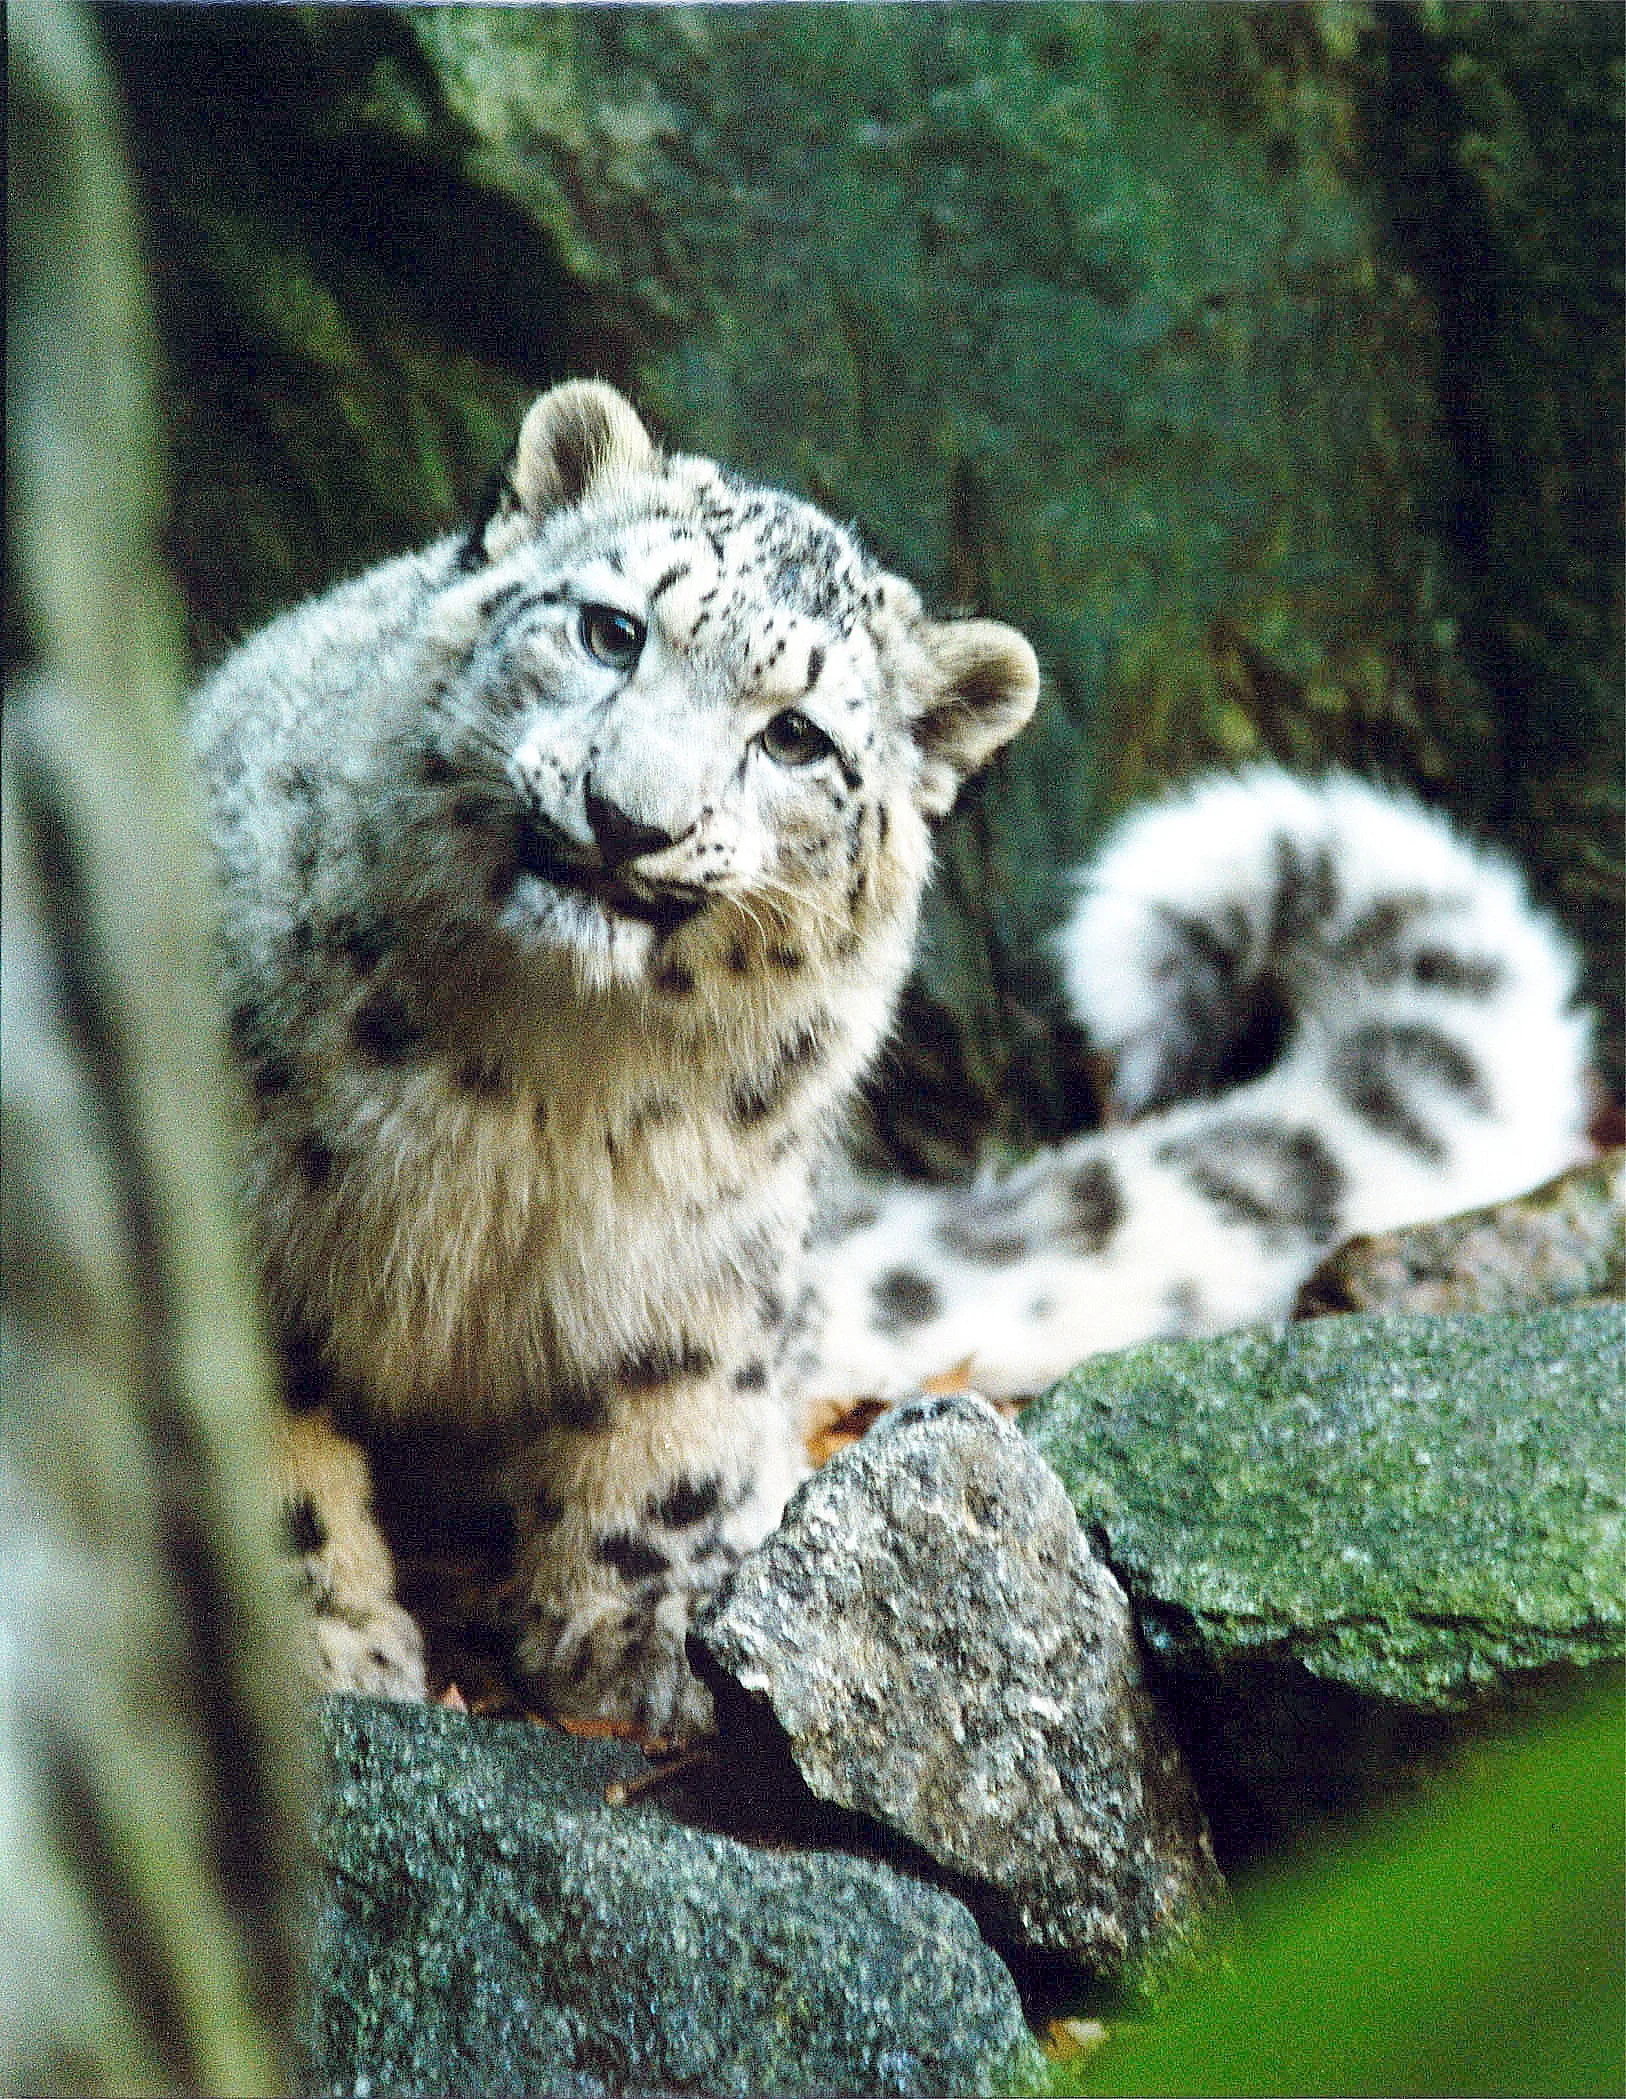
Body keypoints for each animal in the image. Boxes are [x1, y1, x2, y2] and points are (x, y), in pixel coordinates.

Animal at [190, 379, 1591, 1746]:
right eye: (611, 631)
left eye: (796, 738)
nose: (629, 818)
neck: (531, 1078)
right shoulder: (242, 1210)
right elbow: (264, 1463)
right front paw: (326, 1643)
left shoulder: (698, 1262)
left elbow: (666, 1442)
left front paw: (635, 1638)